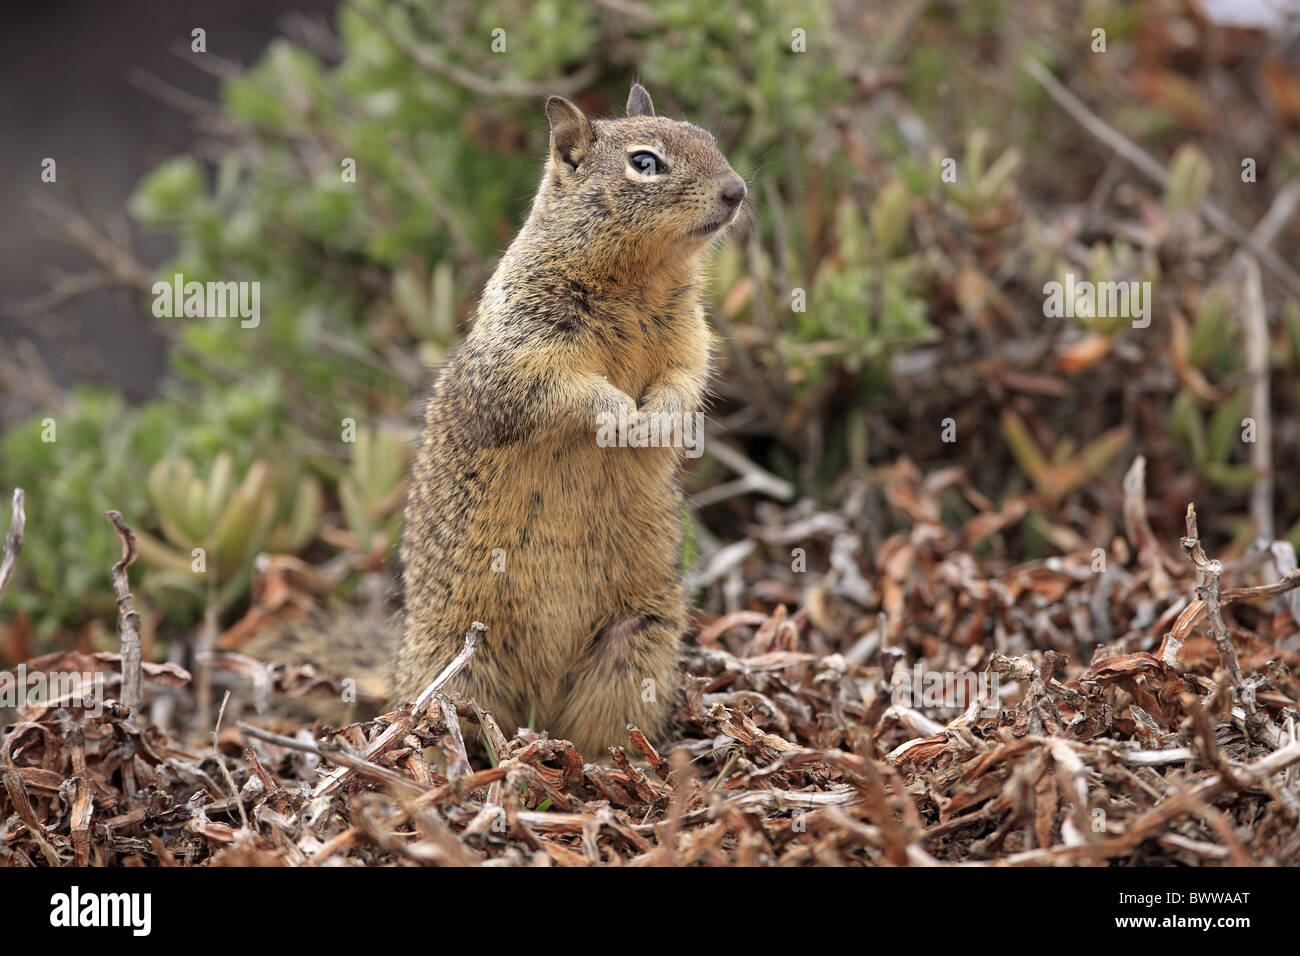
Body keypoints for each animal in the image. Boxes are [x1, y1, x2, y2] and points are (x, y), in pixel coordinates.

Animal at [393, 83, 745, 757]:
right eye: (645, 163)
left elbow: (686, 382)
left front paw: (657, 418)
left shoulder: (691, 341)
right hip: (458, 659)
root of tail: (543, 698)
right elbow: (564, 391)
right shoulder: (526, 349)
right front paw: (618, 413)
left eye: (709, 137)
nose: (737, 190)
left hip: (638, 641)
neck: (640, 278)